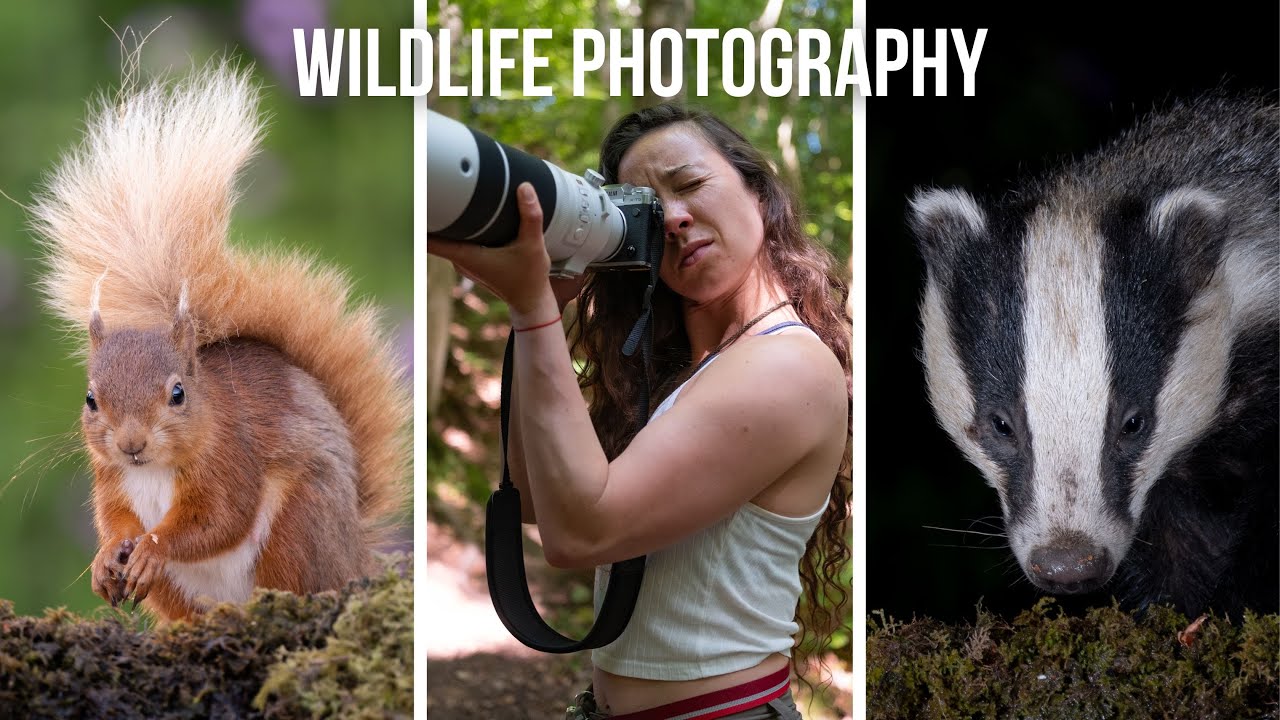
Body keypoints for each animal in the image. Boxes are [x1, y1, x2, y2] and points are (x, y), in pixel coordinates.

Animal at [29, 61, 410, 621]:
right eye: (91, 399)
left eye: (178, 393)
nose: (131, 444)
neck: (153, 471)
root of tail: (352, 557)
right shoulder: (111, 480)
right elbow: (114, 521)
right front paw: (106, 558)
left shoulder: (231, 458)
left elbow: (219, 520)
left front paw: (152, 547)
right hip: (179, 591)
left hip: (297, 526)